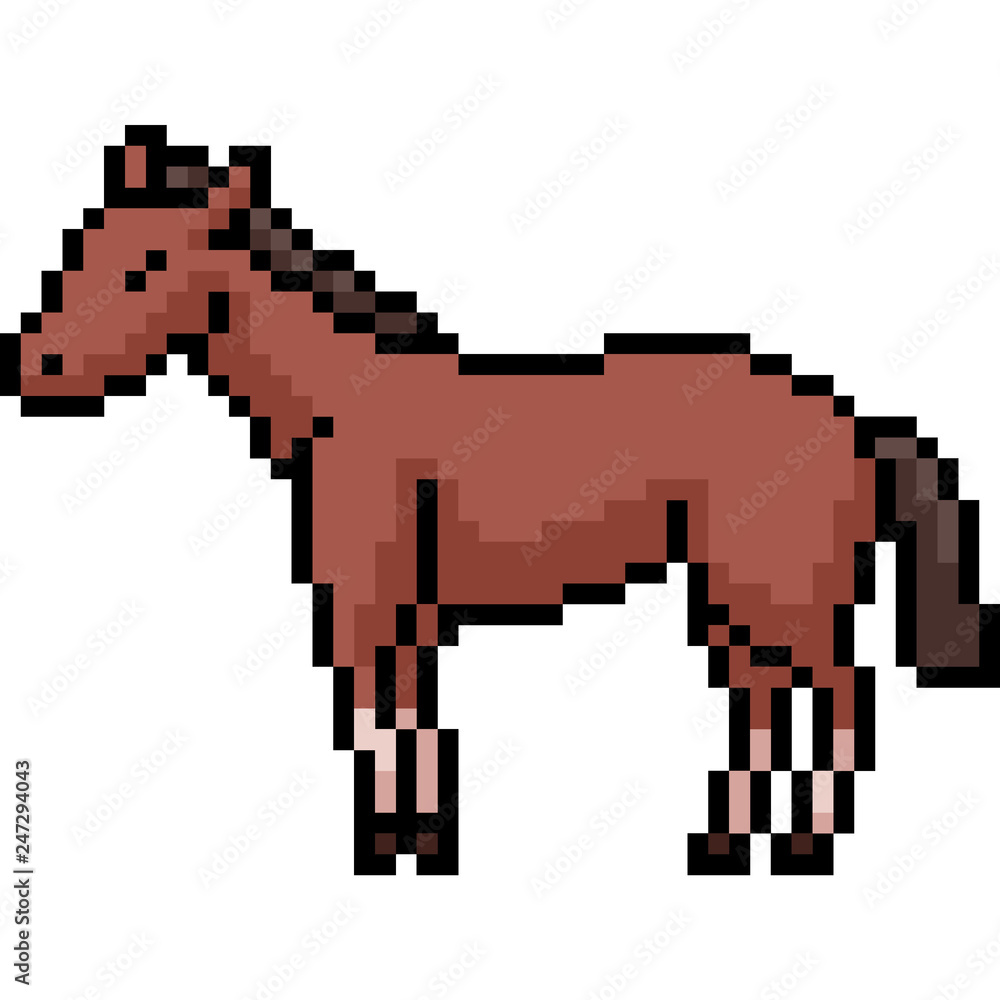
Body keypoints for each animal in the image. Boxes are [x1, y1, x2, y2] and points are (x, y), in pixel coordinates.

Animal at [5, 125, 995, 876]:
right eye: (82, 244)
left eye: (147, 267)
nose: (32, 367)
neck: (343, 404)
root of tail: (853, 422)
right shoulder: (405, 609)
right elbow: (408, 712)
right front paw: (420, 837)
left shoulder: (365, 600)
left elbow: (375, 715)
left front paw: (391, 846)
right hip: (739, 599)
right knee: (760, 697)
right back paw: (725, 844)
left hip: (783, 596)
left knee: (840, 692)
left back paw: (805, 847)